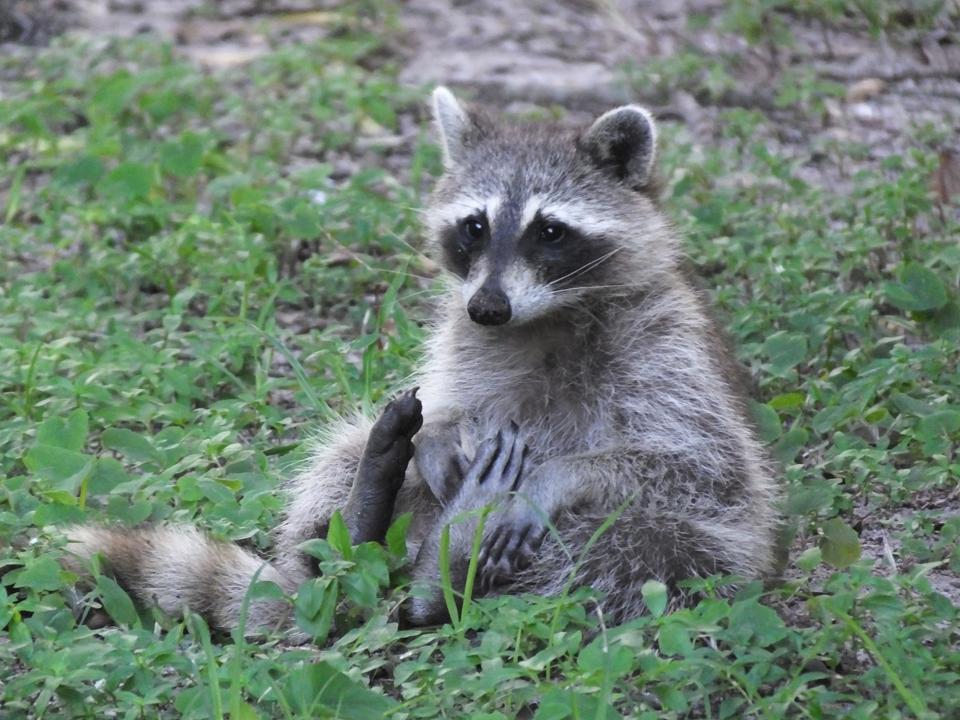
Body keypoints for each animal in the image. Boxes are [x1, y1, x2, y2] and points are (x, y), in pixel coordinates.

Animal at [62, 87, 779, 634]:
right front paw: (435, 437)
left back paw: (447, 571)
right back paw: (363, 516)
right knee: (341, 461)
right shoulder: (460, 342)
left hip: (704, 544)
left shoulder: (667, 348)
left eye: (550, 231)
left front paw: (558, 475)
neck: (541, 318)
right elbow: (444, 410)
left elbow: (697, 463)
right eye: (475, 226)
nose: (487, 308)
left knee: (638, 546)